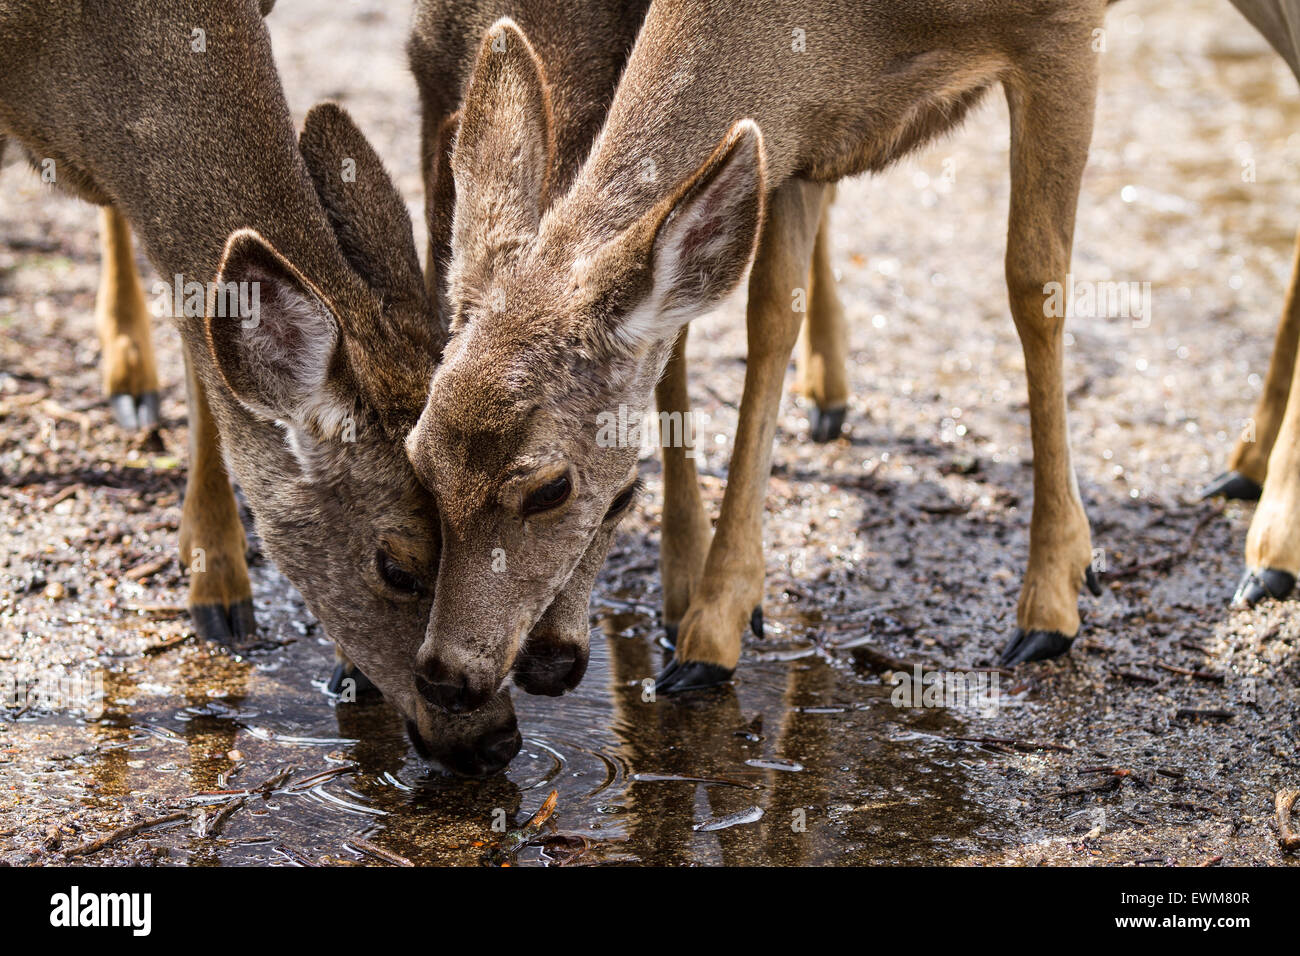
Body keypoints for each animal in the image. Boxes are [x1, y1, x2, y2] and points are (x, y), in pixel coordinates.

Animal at [402, 0, 1300, 711]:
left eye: (554, 488)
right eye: (419, 457)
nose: (445, 675)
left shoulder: (1063, 31)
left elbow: (1032, 284)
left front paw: (1053, 601)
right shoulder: (802, 137)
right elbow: (770, 317)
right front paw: (715, 630)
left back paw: (1270, 547)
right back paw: (1247, 465)